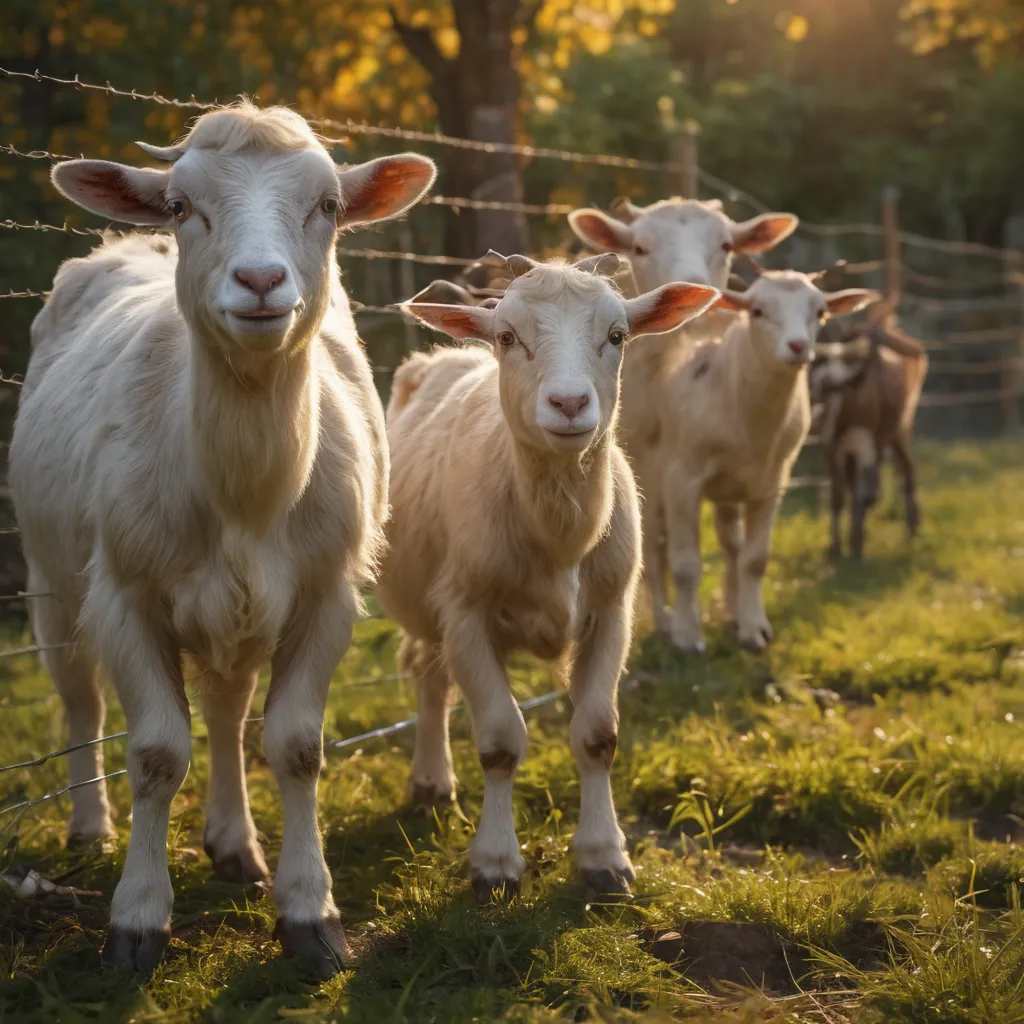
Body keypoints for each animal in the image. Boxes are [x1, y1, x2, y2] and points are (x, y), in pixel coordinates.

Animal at [9, 102, 435, 978]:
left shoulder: (326, 592)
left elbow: (296, 745)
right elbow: (155, 753)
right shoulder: (127, 593)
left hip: (232, 605)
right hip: (51, 573)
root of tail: (121, 247)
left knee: (230, 711)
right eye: (181, 206)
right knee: (79, 699)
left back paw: (236, 844)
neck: (244, 490)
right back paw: (88, 825)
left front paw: (311, 915)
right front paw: (137, 920)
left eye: (328, 206)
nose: (262, 282)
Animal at [380, 253, 717, 899]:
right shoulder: (466, 612)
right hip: (428, 600)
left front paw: (604, 858)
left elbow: (597, 735)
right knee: (428, 678)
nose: (568, 404)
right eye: (508, 338)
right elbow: (499, 741)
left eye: (617, 336)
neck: (558, 531)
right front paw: (495, 863)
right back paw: (432, 780)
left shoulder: (612, 610)